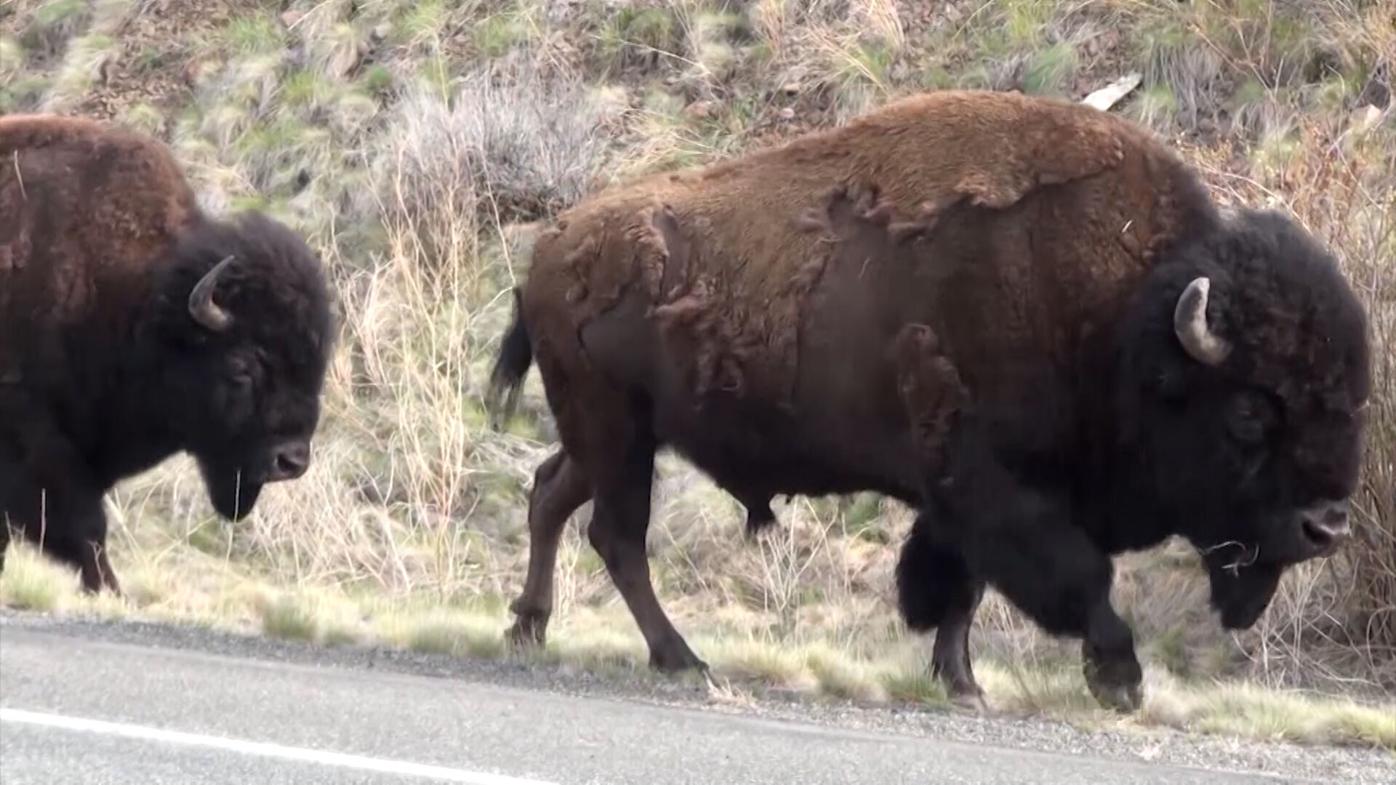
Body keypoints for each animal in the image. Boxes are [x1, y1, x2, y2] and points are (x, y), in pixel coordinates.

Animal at [1, 115, 334, 594]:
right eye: (242, 365)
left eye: (317, 365)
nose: (290, 461)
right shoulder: (36, 444)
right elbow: (82, 525)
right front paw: (111, 589)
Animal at [487, 89, 1371, 711]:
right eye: (1250, 411)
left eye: (1347, 400)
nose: (1326, 527)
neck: (1123, 317)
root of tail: (551, 248)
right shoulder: (993, 486)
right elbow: (1073, 577)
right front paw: (1120, 677)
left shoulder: (968, 499)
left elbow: (960, 586)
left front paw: (962, 680)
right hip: (617, 434)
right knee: (617, 535)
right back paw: (680, 658)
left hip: (614, 435)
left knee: (551, 494)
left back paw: (529, 625)